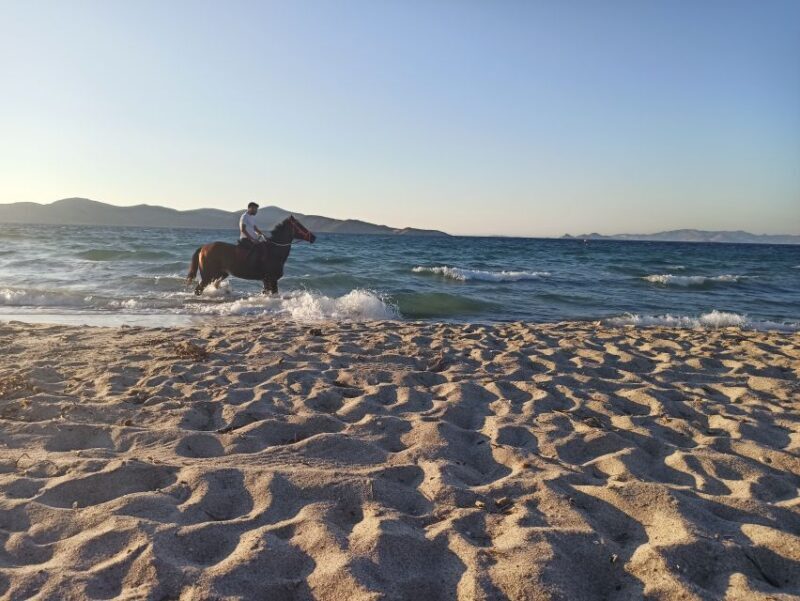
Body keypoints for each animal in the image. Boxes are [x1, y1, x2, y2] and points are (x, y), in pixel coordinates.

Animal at [186, 215, 316, 295]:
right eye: (299, 225)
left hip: (220, 274)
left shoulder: (267, 281)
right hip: (208, 276)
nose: (313, 237)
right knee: (198, 290)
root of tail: (203, 247)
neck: (274, 251)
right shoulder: (271, 279)